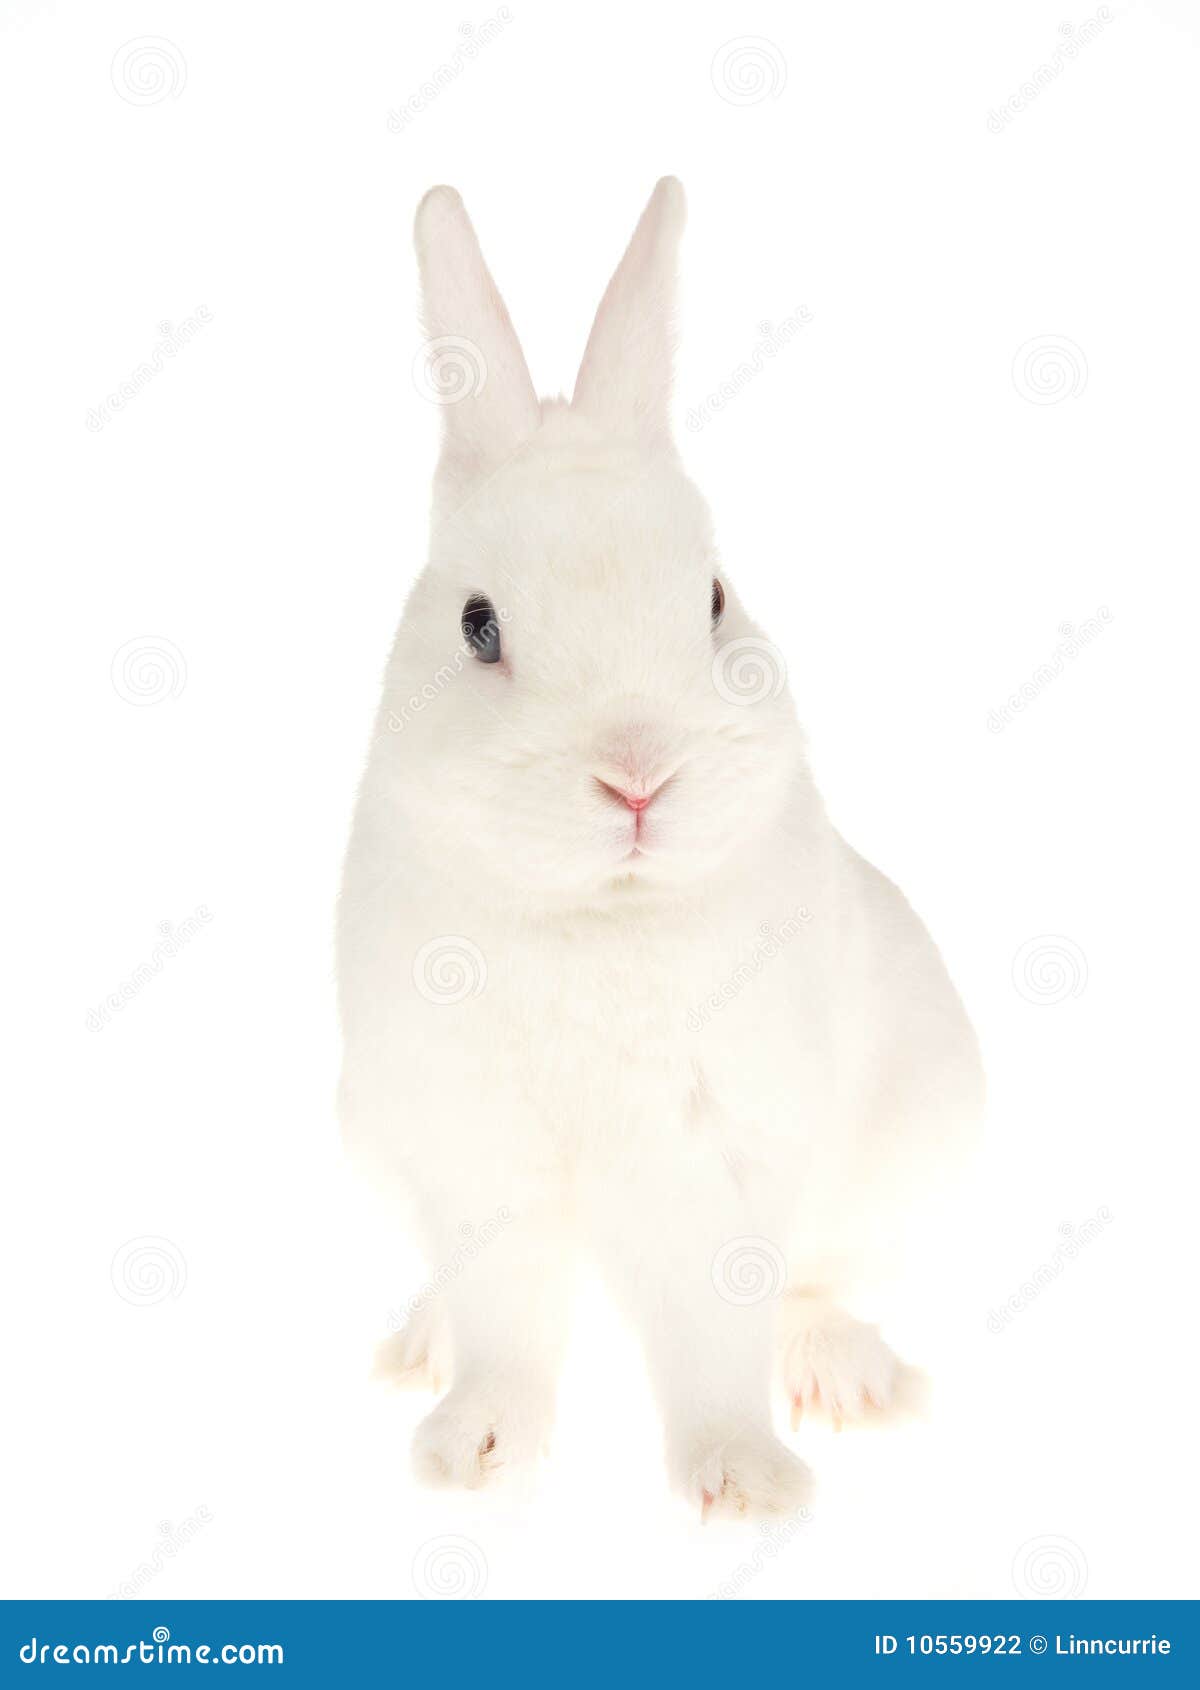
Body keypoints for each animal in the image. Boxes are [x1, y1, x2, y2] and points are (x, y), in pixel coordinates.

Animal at [337, 178, 984, 1520]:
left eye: (716, 600)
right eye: (478, 625)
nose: (638, 775)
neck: (602, 915)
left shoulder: (723, 1164)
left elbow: (716, 1336)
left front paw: (744, 1483)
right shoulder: (477, 1156)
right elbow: (507, 1324)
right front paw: (473, 1450)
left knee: (818, 1284)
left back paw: (847, 1381)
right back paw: (418, 1345)